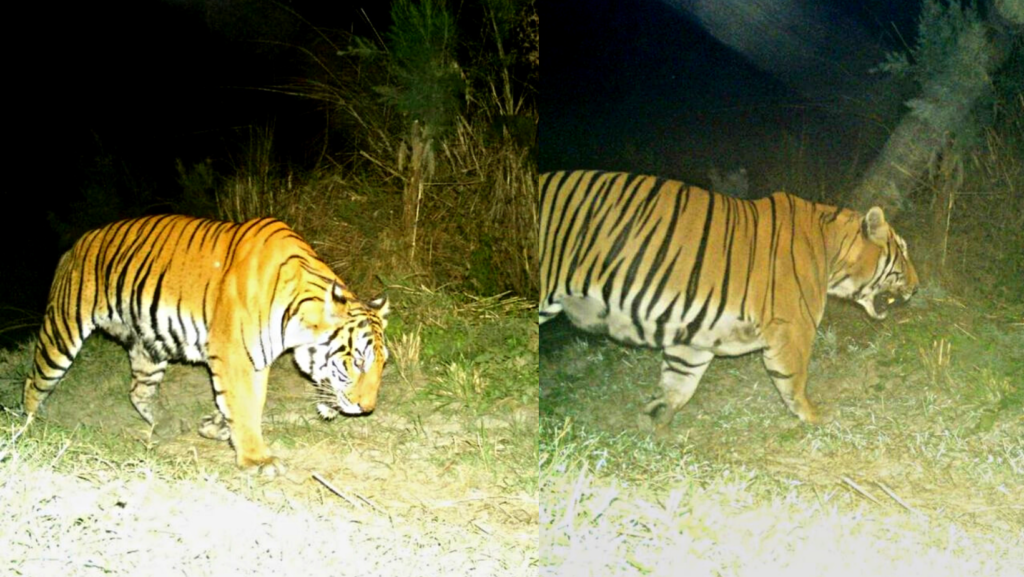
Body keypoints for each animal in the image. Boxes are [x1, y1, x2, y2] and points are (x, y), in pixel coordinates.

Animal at [23, 215, 389, 475]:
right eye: (358, 361)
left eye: (381, 365)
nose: (368, 408)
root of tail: (74, 246)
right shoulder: (234, 356)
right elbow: (244, 406)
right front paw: (256, 460)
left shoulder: (256, 359)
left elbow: (246, 405)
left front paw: (216, 427)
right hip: (63, 331)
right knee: (34, 380)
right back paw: (28, 428)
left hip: (149, 347)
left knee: (138, 391)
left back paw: (166, 423)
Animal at [540, 170, 918, 427]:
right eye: (902, 253)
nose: (917, 286)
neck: (832, 252)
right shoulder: (793, 328)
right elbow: (794, 380)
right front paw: (813, 416)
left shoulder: (692, 335)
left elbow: (679, 379)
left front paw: (655, 418)